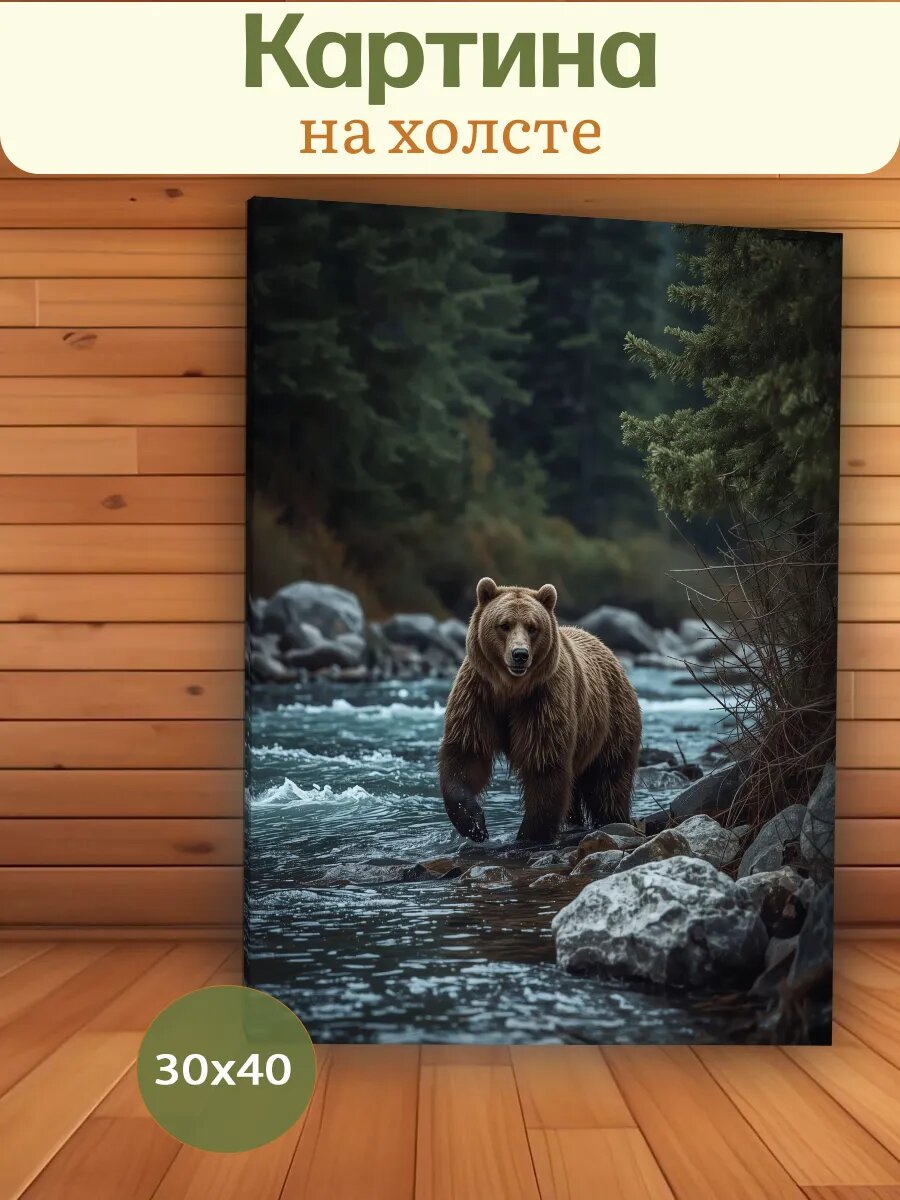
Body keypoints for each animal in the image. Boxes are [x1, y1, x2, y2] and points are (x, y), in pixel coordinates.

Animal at [438, 577, 642, 844]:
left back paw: (613, 819)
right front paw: (475, 825)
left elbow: (545, 765)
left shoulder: (543, 701)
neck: (511, 689)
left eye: (533, 627)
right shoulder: (478, 696)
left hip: (612, 721)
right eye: (504, 624)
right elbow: (466, 755)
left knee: (608, 782)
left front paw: (529, 834)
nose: (520, 655)